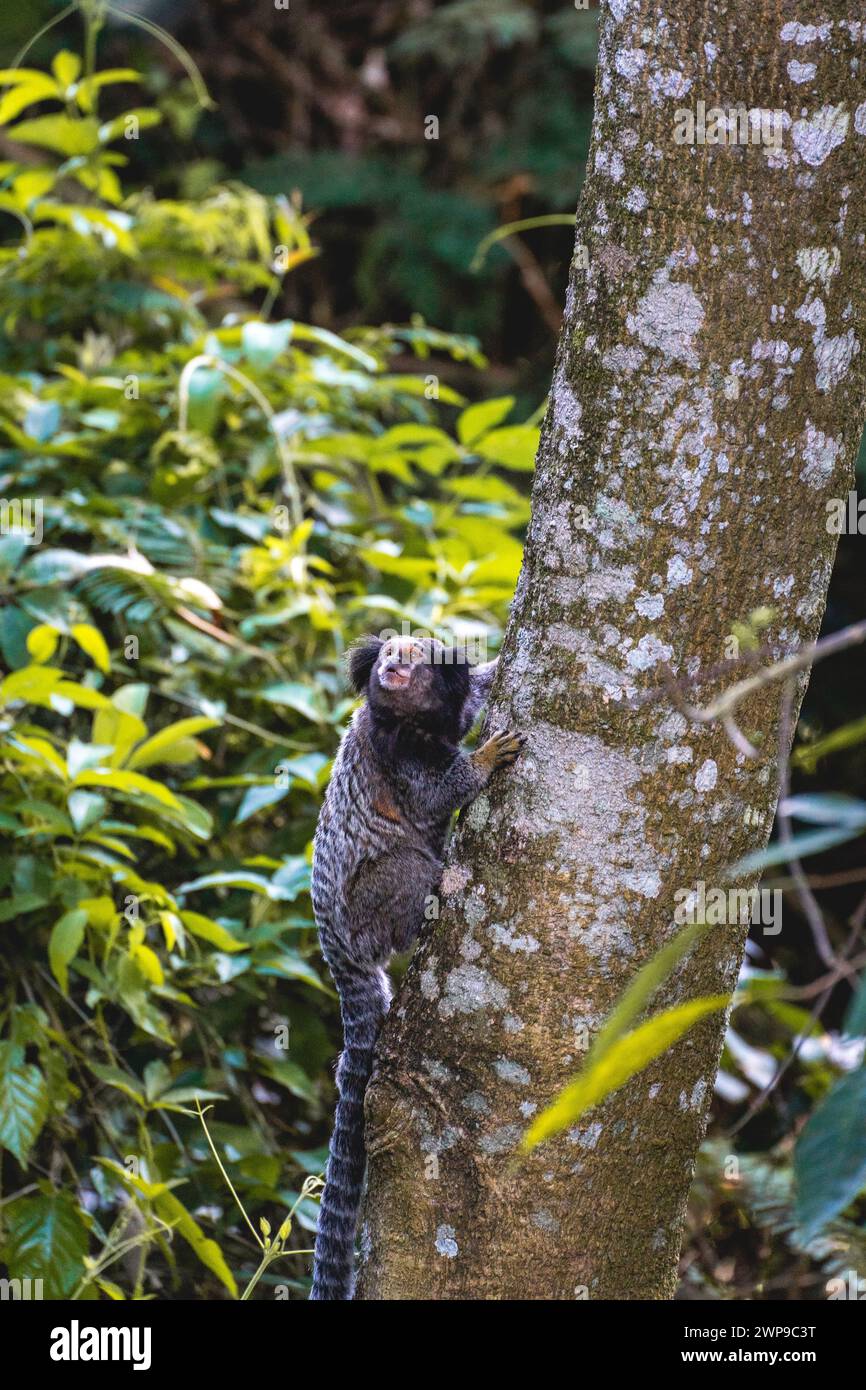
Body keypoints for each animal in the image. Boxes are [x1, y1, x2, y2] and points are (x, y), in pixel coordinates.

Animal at [308, 634, 524, 1300]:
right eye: (387, 659)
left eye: (414, 655)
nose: (393, 667)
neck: (414, 718)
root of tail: (340, 955)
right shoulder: (400, 751)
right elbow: (435, 793)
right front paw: (483, 761)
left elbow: (477, 689)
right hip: (369, 909)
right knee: (407, 866)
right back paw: (439, 885)